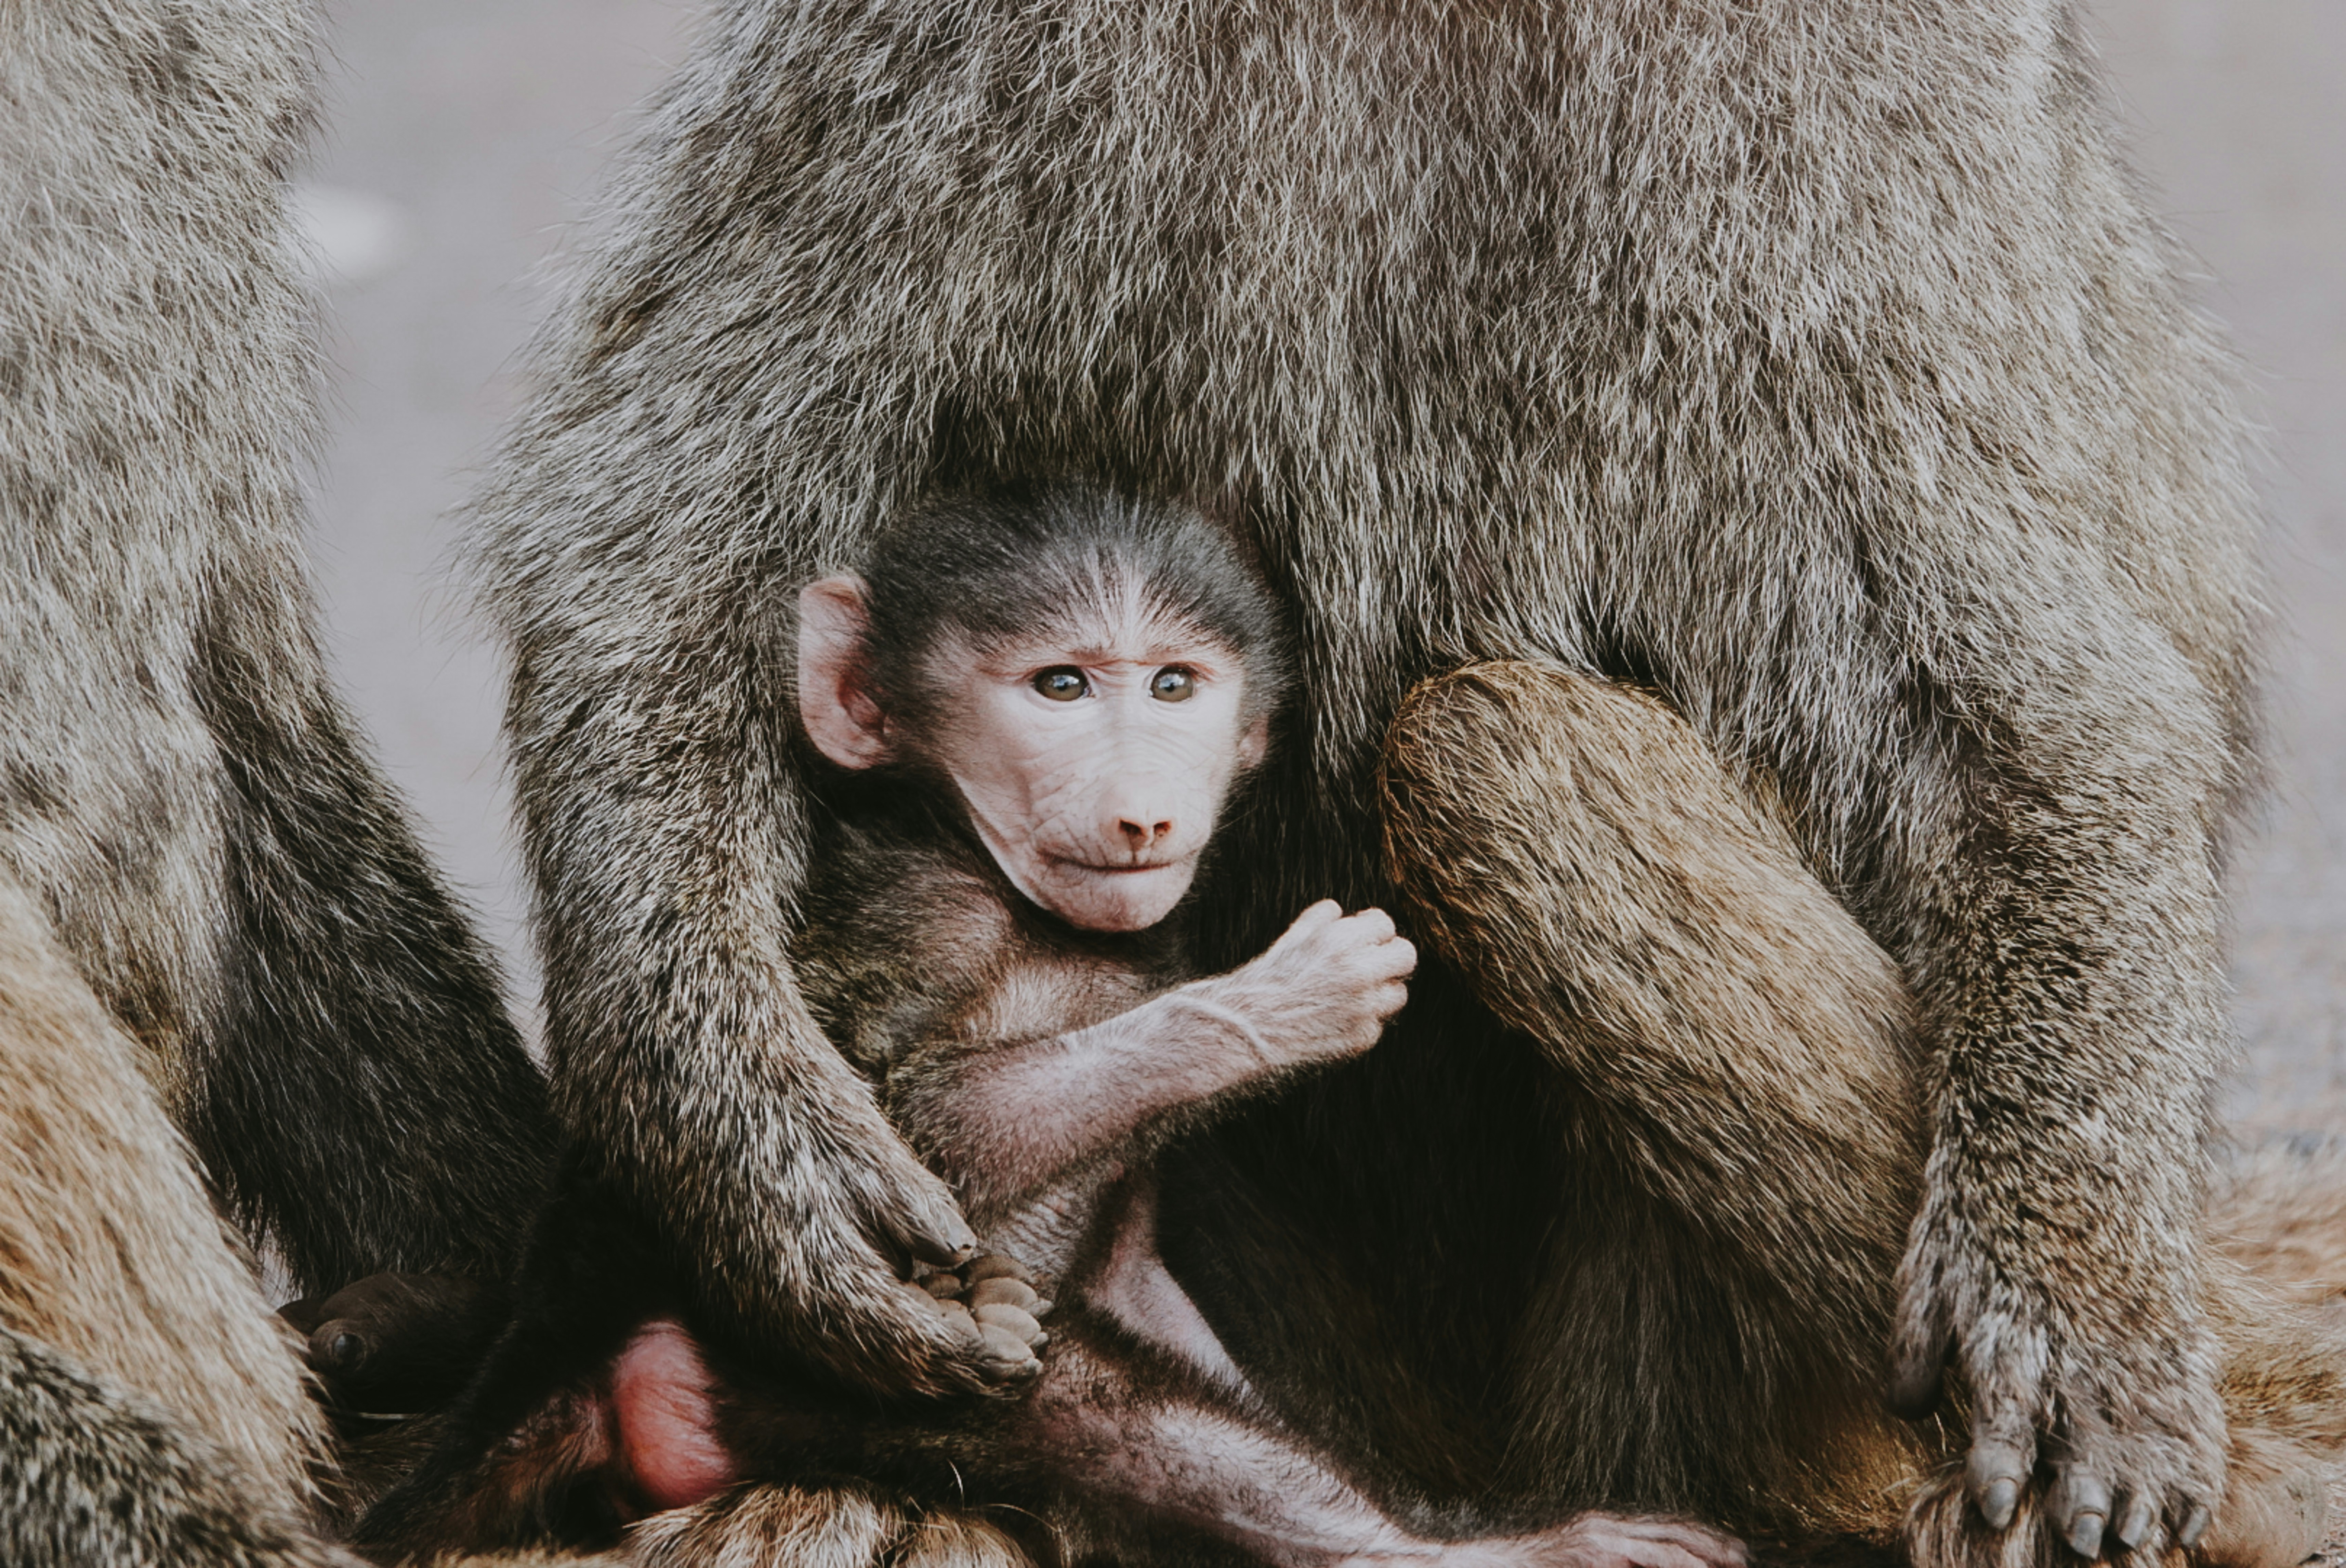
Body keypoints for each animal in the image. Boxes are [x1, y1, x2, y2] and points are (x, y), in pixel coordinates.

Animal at [453, 1, 2346, 1564]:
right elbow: (682, 525)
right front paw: (745, 1135)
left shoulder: (1874, 98)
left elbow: (2007, 684)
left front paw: (2072, 1293)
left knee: (1490, 744)